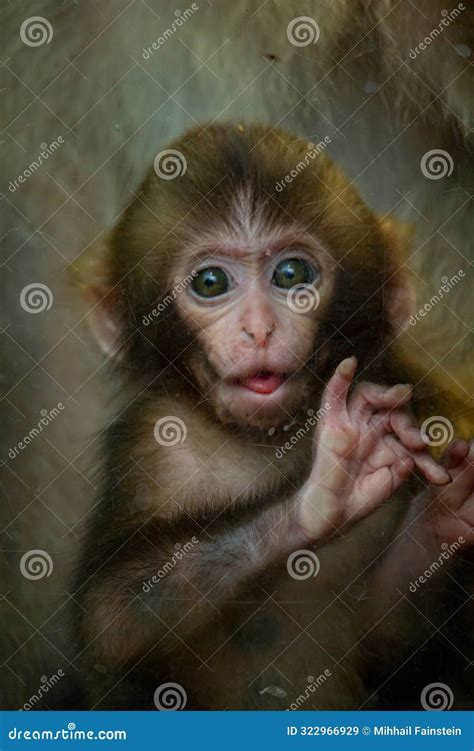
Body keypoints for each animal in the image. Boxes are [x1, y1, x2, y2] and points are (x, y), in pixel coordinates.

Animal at [1, 0, 472, 710]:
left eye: (293, 274)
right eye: (211, 283)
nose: (257, 329)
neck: (262, 441)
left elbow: (387, 639)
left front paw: (444, 516)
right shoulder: (153, 442)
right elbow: (115, 616)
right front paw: (325, 489)